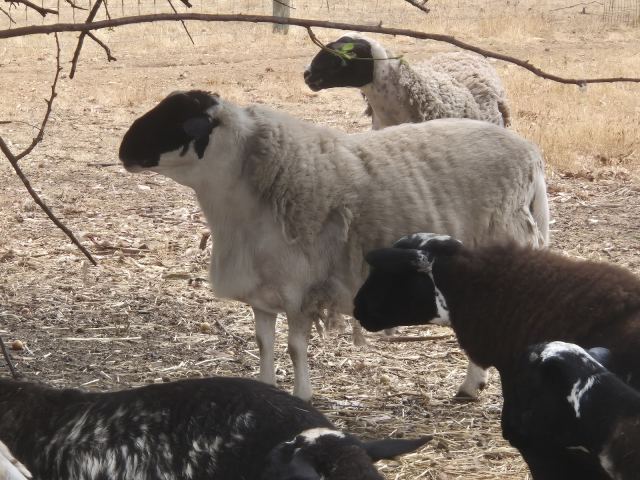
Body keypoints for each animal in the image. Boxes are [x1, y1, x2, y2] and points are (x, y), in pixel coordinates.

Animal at [118, 90, 549, 401]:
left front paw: (303, 397)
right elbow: (263, 343)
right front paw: (267, 388)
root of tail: (530, 153)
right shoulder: (263, 293)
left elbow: (295, 348)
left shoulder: (301, 290)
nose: (123, 151)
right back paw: (470, 388)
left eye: (178, 123)